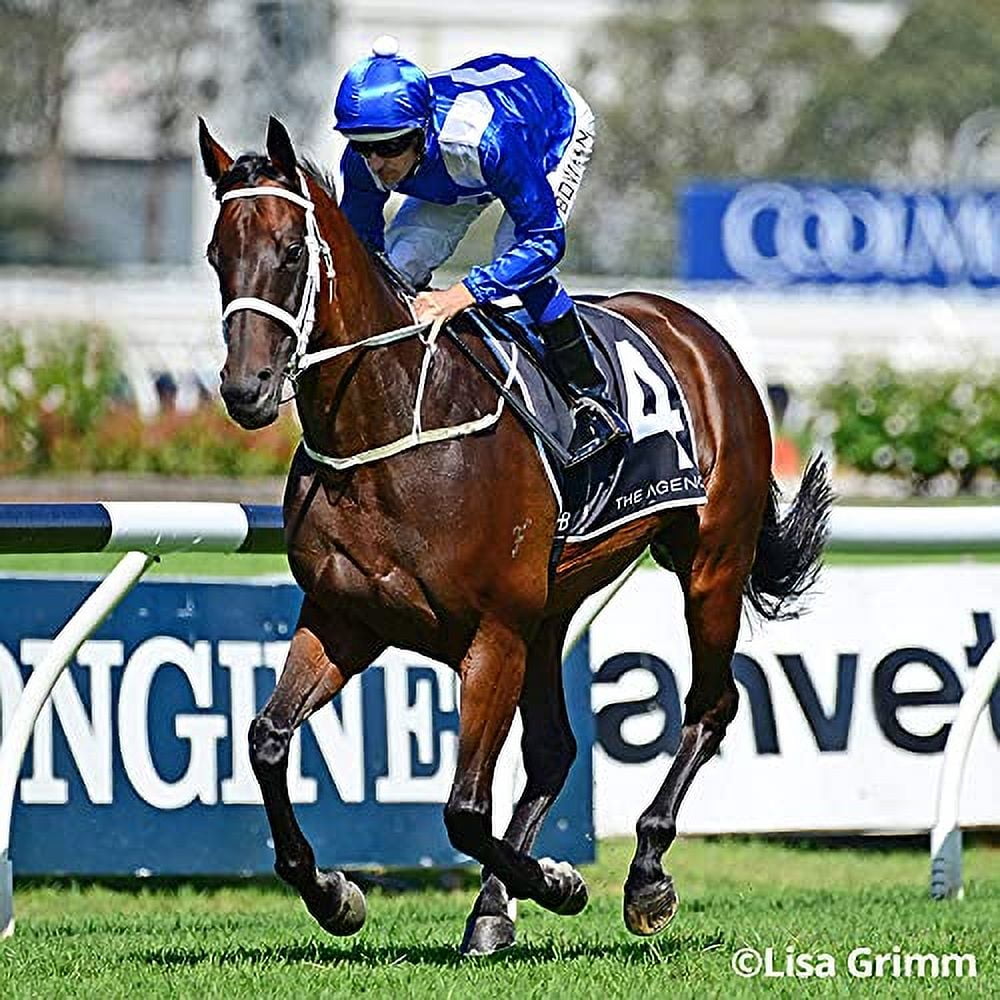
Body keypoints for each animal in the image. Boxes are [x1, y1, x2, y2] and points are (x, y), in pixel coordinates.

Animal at [198, 115, 832, 956]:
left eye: (292, 251)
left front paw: (561, 884)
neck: (390, 428)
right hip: (553, 607)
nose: (246, 390)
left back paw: (645, 874)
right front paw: (334, 894)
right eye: (217, 254)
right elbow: (266, 740)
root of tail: (699, 334)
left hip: (710, 564)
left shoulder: (493, 632)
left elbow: (466, 810)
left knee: (711, 705)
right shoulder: (344, 619)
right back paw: (495, 908)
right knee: (556, 748)